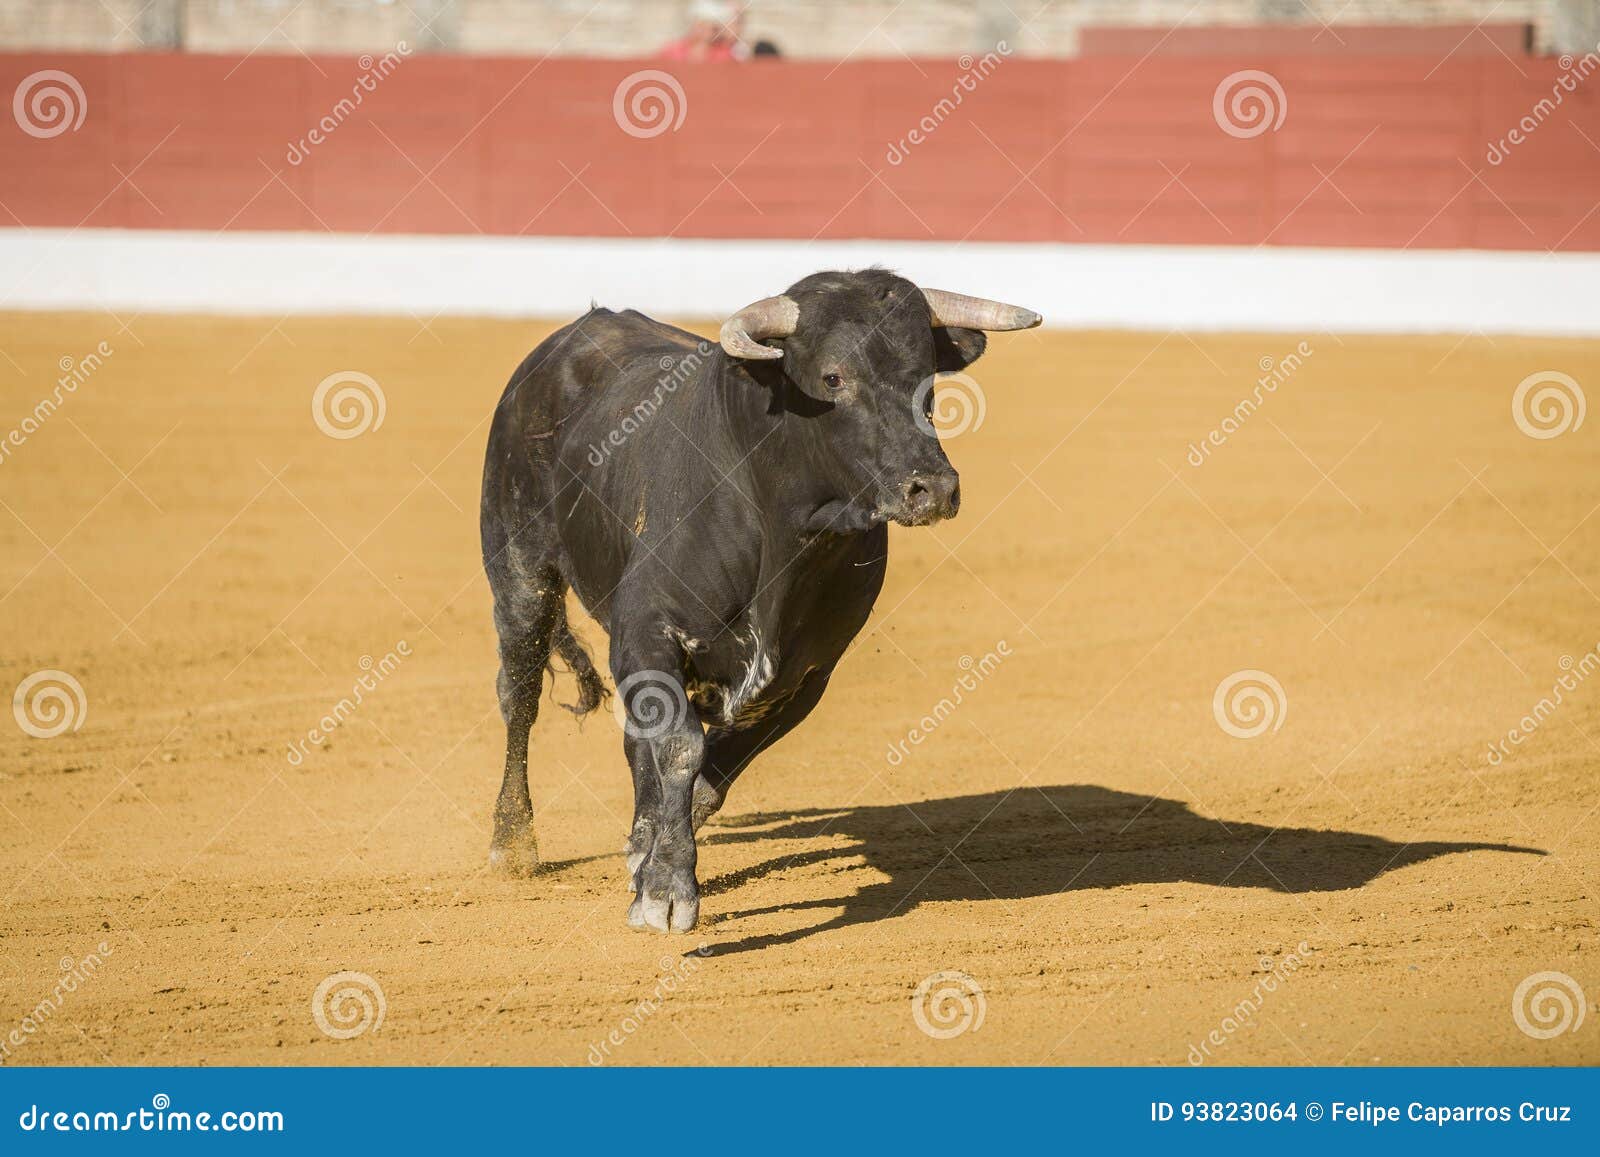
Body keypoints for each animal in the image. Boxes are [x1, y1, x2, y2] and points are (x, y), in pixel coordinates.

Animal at [480, 269, 1040, 933]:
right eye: (832, 377)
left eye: (927, 377)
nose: (931, 488)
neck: (787, 528)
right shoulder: (647, 632)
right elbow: (679, 746)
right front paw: (666, 892)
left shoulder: (806, 673)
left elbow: (712, 770)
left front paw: (652, 861)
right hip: (520, 574)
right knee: (520, 696)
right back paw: (511, 845)